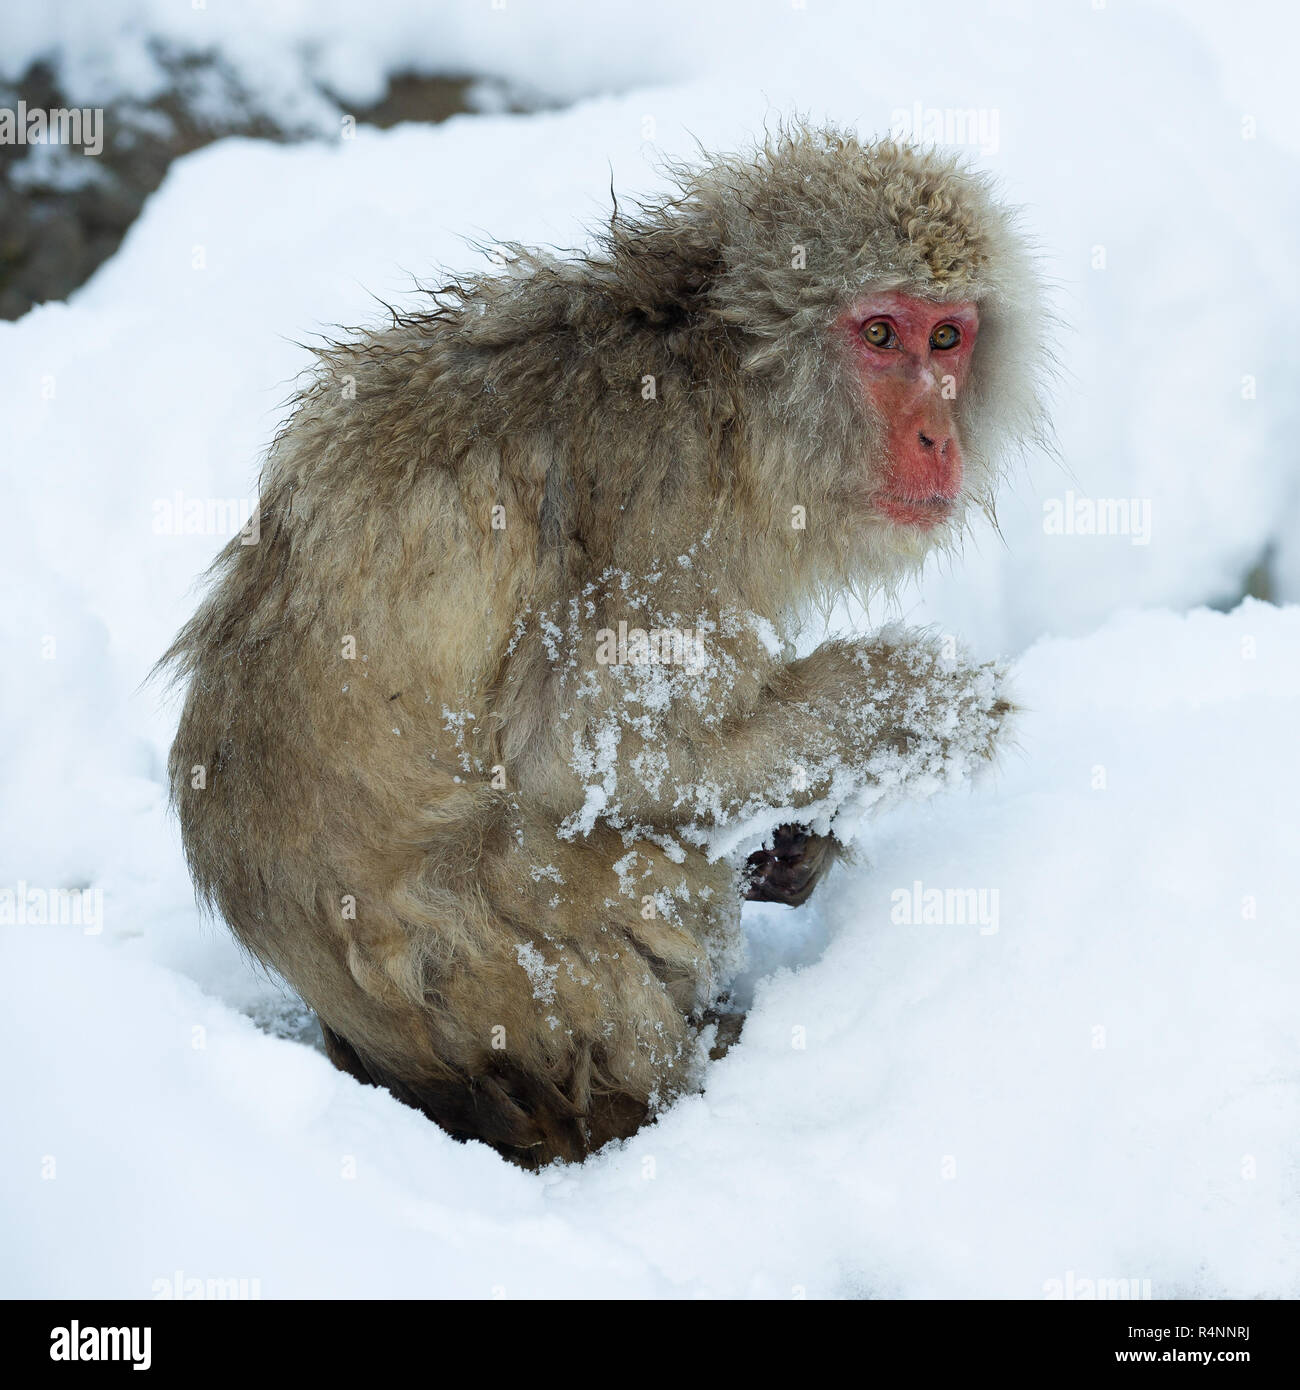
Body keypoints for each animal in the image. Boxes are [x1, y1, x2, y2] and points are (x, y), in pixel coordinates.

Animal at [160, 123, 1048, 1167]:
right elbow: (587, 754)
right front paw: (916, 706)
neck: (733, 384)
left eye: (947, 337)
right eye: (880, 336)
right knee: (620, 870)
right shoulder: (667, 503)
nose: (938, 436)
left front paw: (804, 838)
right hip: (494, 972)